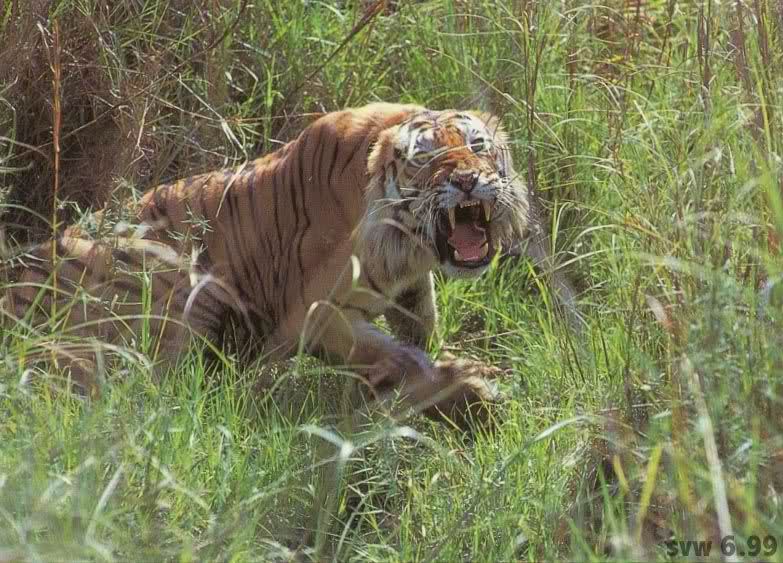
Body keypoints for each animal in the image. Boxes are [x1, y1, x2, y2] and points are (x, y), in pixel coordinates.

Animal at [1, 102, 530, 428]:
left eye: (477, 146)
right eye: (426, 159)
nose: (467, 181)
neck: (407, 243)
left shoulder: (410, 286)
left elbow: (421, 328)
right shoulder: (315, 314)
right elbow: (400, 355)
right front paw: (469, 385)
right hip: (174, 277)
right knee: (172, 391)